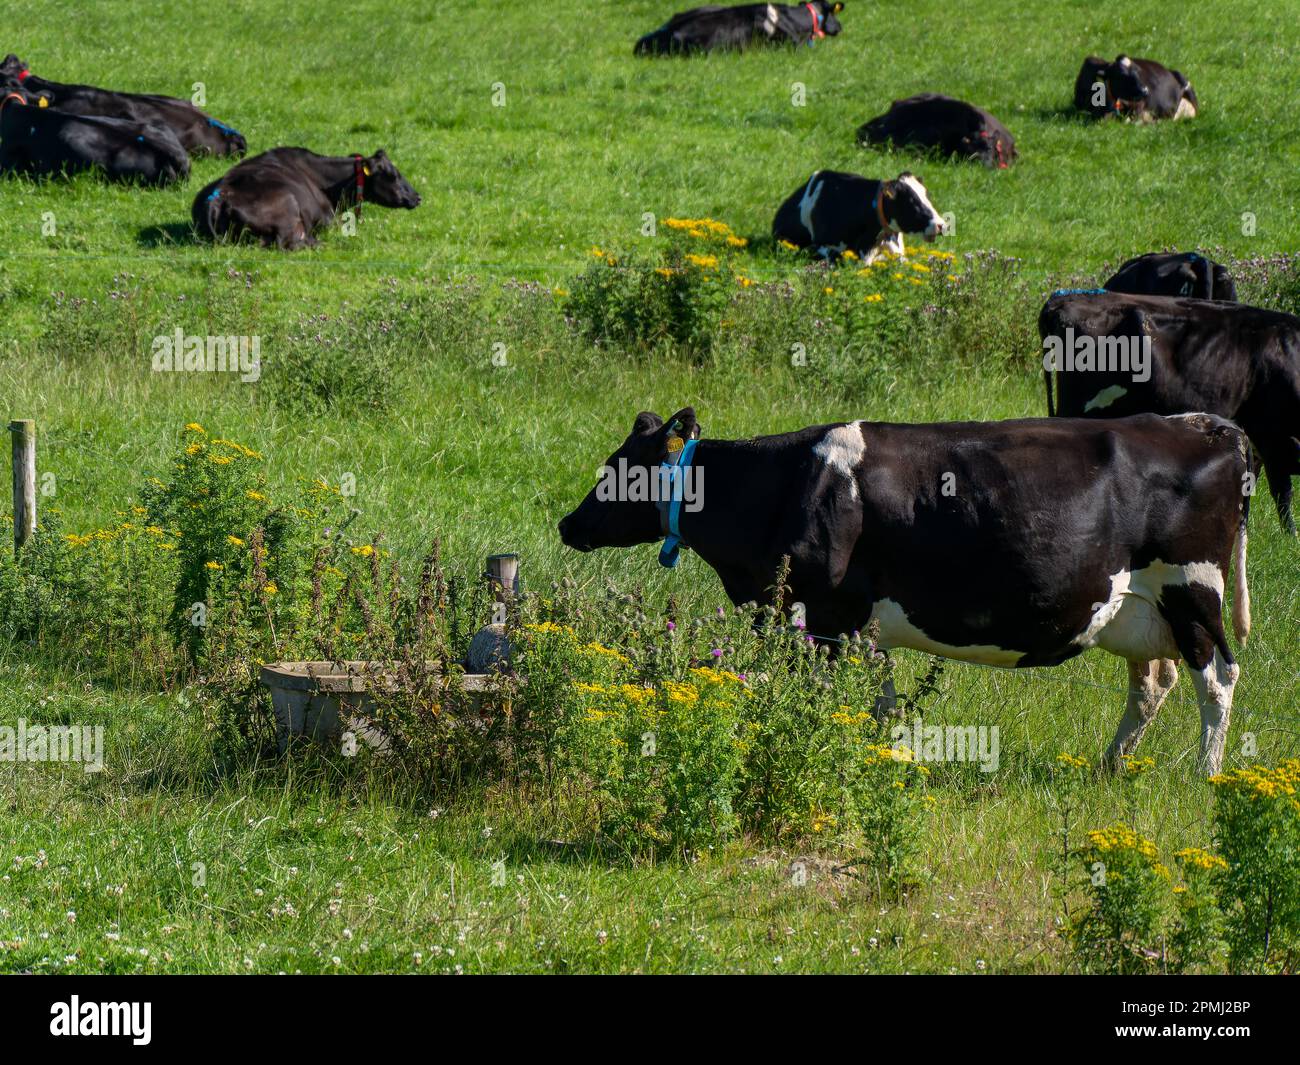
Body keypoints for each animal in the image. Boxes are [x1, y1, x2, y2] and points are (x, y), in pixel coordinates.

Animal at [191, 147, 420, 250]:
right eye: (393, 175)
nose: (417, 197)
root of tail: (219, 196)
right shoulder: (328, 219)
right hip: (288, 208)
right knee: (287, 243)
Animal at [558, 408, 1252, 775]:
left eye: (620, 469)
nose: (568, 524)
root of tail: (1206, 425)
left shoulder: (823, 619)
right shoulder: (859, 629)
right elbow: (882, 705)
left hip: (1193, 593)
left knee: (1217, 679)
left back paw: (1206, 774)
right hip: (1139, 612)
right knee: (1153, 682)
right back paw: (1111, 767)